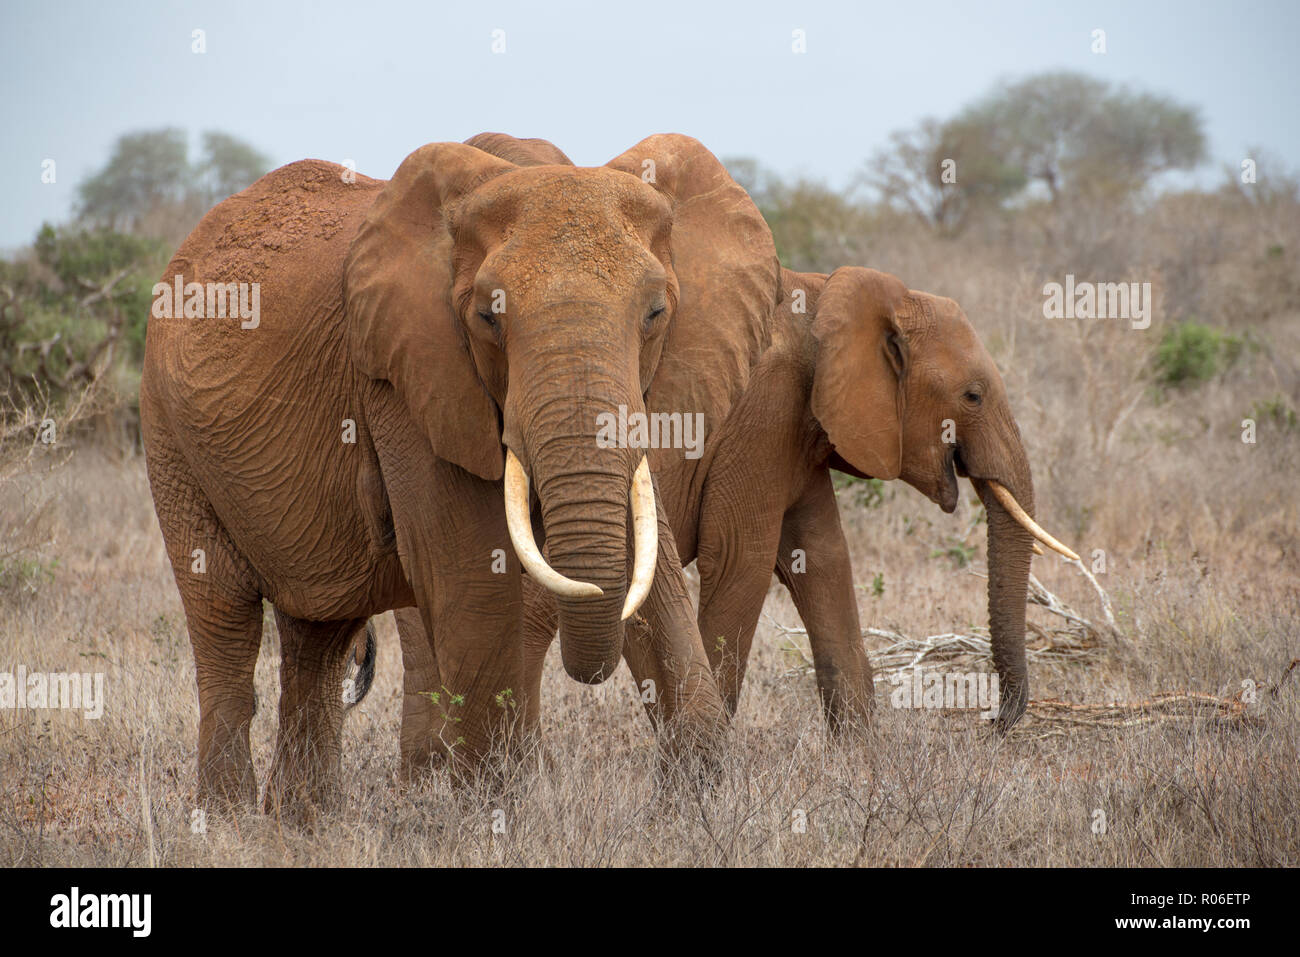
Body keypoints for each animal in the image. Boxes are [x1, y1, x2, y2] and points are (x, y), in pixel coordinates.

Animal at [140, 133, 780, 817]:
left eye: (656, 313)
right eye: (487, 318)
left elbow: (648, 560)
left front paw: (699, 808)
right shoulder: (406, 381)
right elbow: (469, 580)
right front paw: (499, 817)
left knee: (319, 636)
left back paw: (304, 824)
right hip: (169, 435)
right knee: (224, 617)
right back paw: (226, 821)